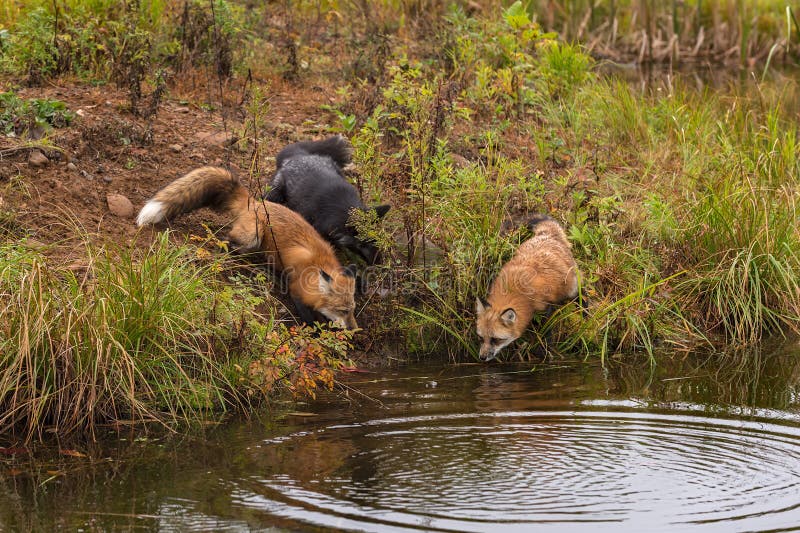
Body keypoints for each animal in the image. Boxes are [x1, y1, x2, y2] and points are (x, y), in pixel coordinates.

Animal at [136, 166, 358, 330]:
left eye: (353, 309)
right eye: (343, 310)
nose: (354, 329)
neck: (319, 265)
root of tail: (255, 202)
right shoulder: (296, 289)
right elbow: (307, 315)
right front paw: (316, 329)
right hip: (253, 235)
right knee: (227, 240)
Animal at [264, 135, 390, 265]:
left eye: (375, 239)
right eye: (362, 244)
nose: (379, 261)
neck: (343, 205)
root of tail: (298, 155)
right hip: (274, 194)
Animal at [475, 215, 581, 362]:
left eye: (495, 339)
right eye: (481, 338)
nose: (482, 357)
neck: (515, 291)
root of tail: (548, 235)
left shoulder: (546, 305)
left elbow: (547, 332)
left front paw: (546, 350)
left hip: (572, 287)